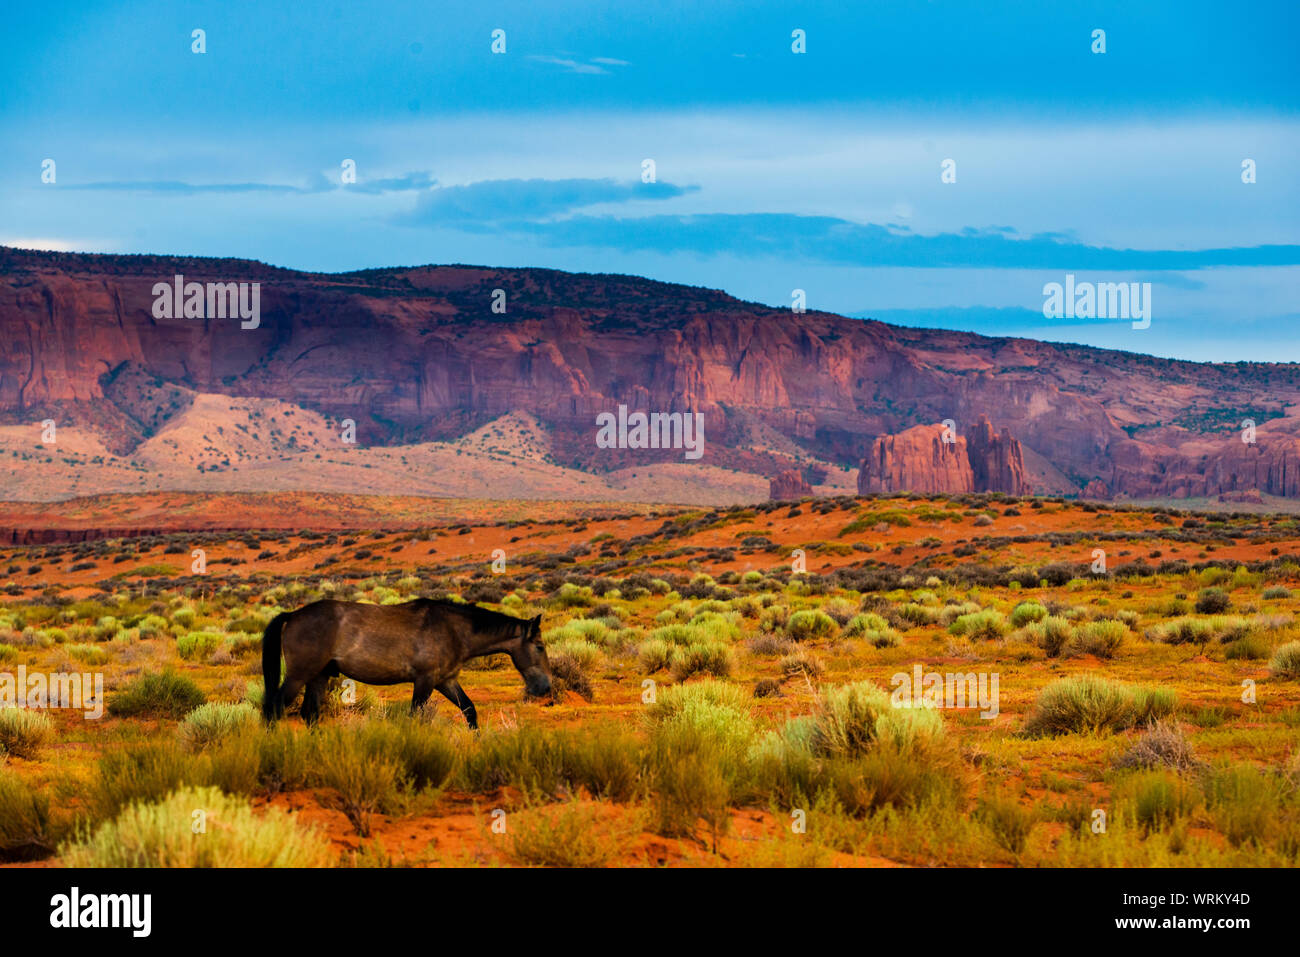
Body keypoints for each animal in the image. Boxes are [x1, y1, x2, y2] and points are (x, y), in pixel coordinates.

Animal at [260, 598, 549, 728]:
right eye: (540, 646)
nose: (545, 688)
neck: (453, 630)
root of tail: (292, 615)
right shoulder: (425, 681)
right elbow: (414, 717)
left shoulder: (446, 681)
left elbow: (469, 710)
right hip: (299, 675)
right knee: (275, 708)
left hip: (319, 676)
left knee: (309, 714)